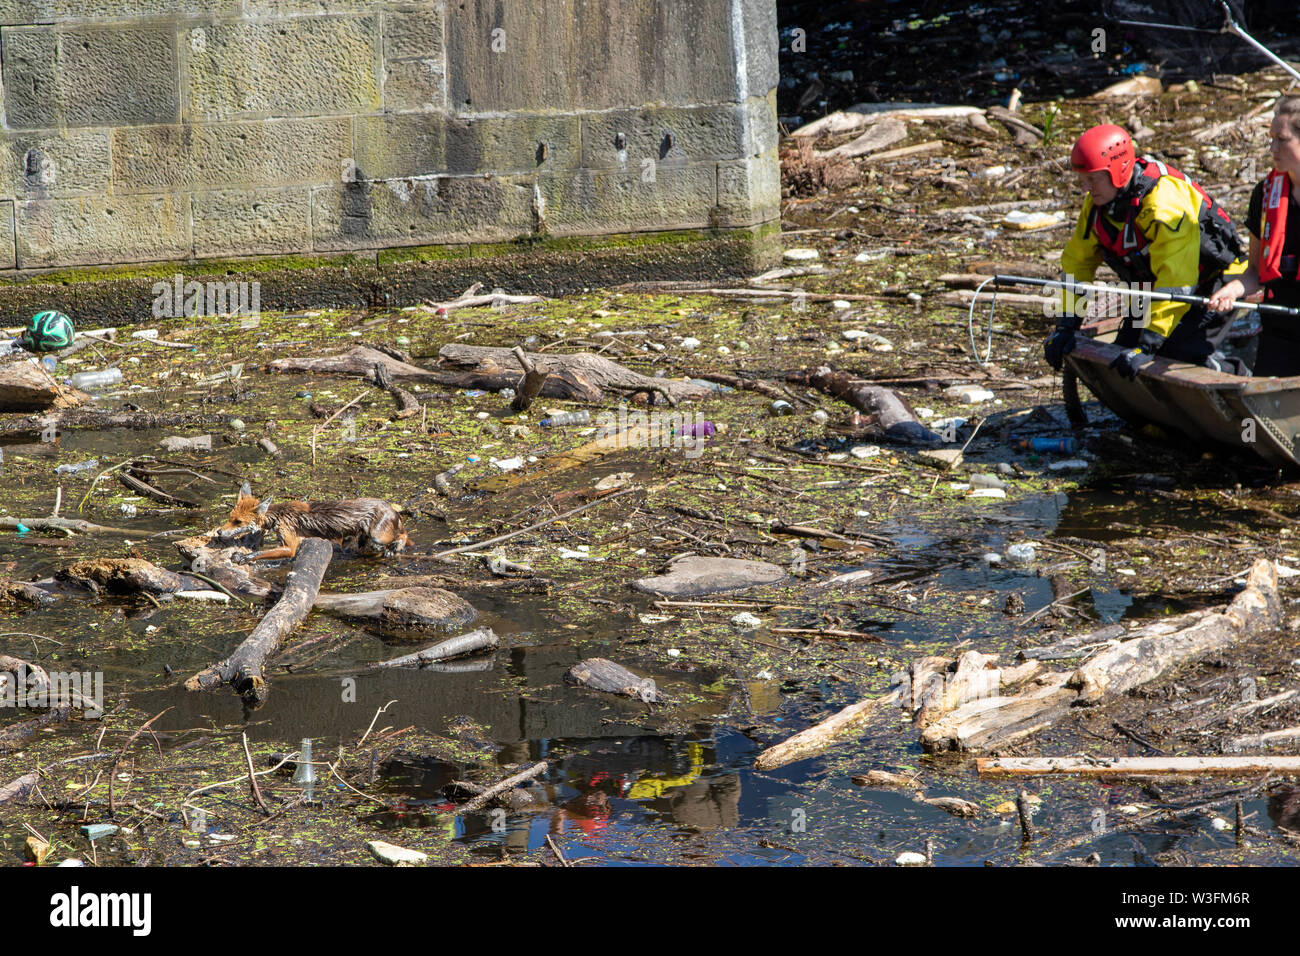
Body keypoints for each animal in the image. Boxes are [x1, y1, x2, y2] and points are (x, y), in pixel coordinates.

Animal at [216, 482, 413, 563]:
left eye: (238, 522)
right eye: (230, 518)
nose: (219, 532)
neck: (279, 516)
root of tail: (392, 509)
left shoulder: (290, 545)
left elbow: (261, 553)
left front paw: (243, 557)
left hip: (378, 535)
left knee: (404, 535)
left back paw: (396, 547)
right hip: (364, 538)